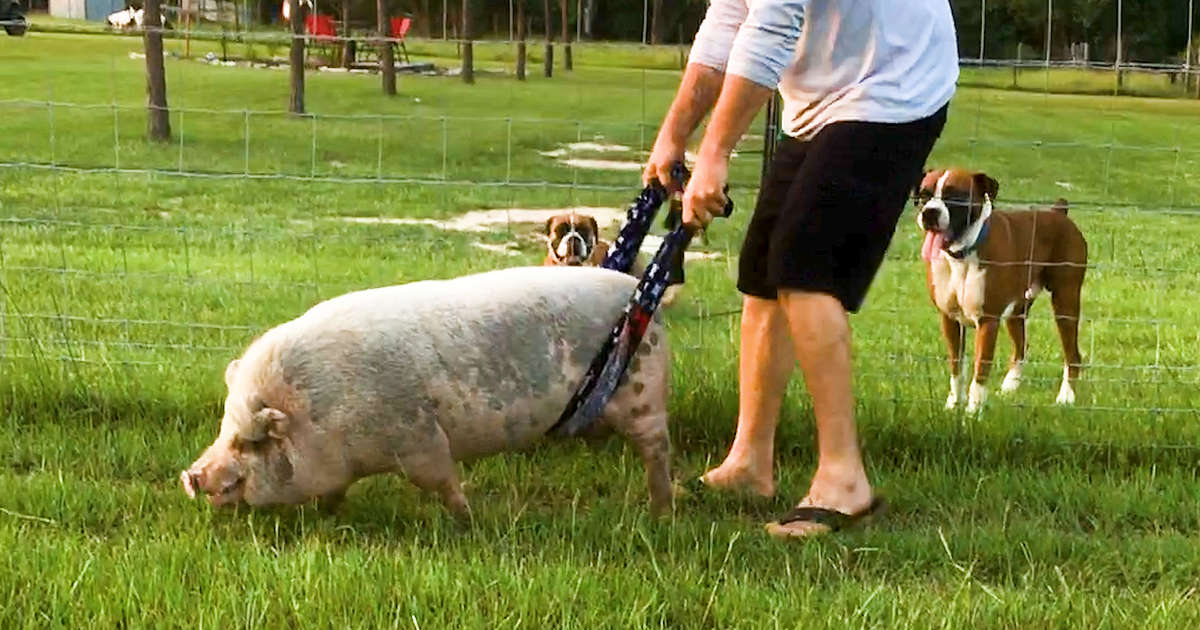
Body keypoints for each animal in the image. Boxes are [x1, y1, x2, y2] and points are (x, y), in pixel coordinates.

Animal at [180, 265, 674, 518]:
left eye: (249, 442)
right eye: (223, 430)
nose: (191, 475)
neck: (319, 414)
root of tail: (640, 293)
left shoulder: (419, 437)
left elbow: (442, 480)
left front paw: (466, 522)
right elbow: (334, 493)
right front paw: (329, 515)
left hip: (644, 391)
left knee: (657, 450)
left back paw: (661, 510)